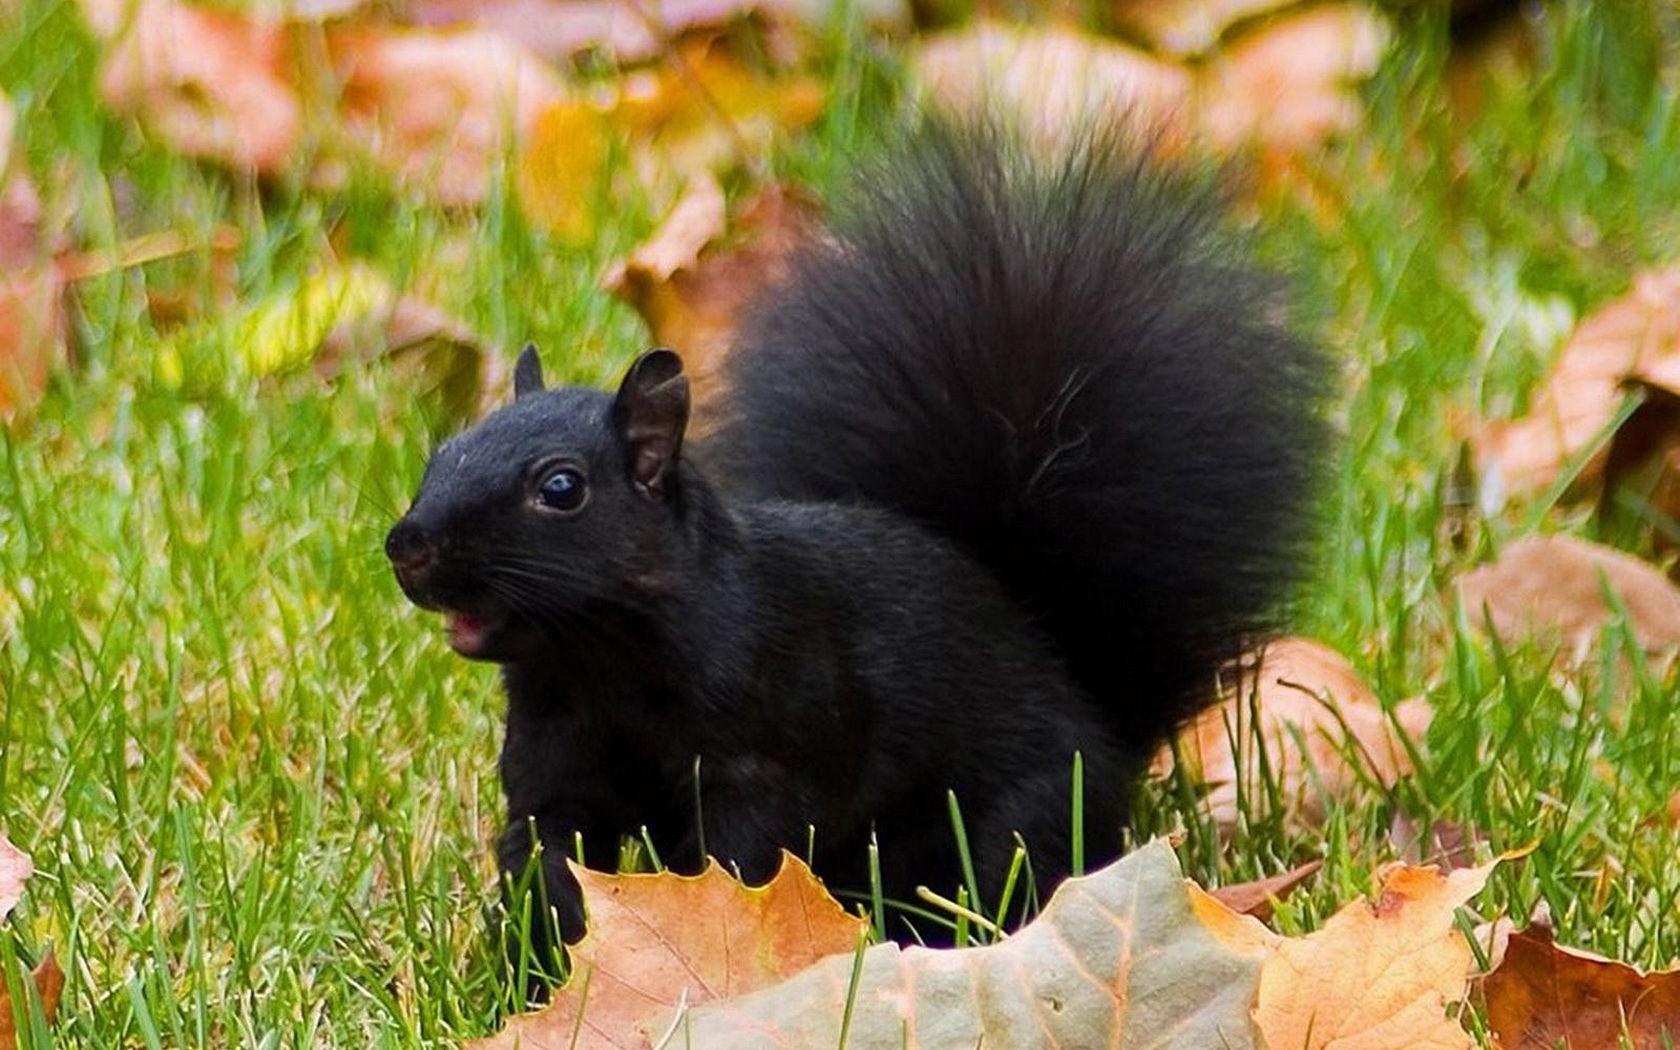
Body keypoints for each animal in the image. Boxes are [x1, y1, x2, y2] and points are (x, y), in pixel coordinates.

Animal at [386, 118, 1333, 955]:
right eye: (445, 450)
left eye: (560, 489)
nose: (408, 547)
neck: (599, 664)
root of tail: (1093, 720)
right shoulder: (554, 766)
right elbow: (547, 859)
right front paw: (538, 971)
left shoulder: (771, 746)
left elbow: (739, 860)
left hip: (1012, 823)